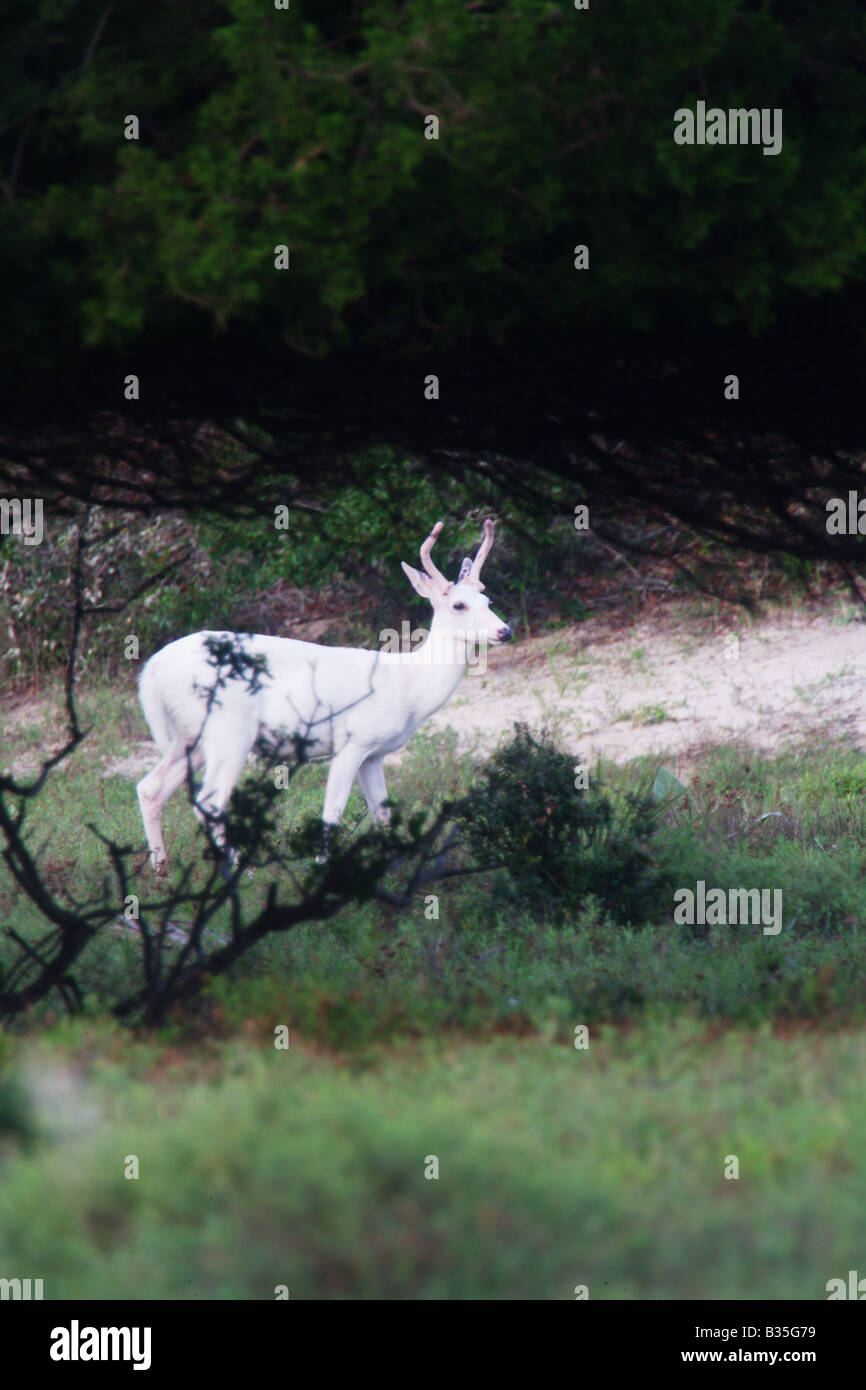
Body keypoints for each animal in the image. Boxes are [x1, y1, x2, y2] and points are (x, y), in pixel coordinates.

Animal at [136, 518, 511, 873]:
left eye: (488, 600)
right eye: (459, 605)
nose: (505, 631)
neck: (409, 687)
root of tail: (151, 671)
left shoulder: (375, 753)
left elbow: (382, 815)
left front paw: (392, 870)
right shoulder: (352, 741)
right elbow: (332, 812)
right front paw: (321, 868)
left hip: (190, 736)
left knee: (151, 788)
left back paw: (161, 868)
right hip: (229, 729)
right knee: (210, 801)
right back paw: (238, 870)